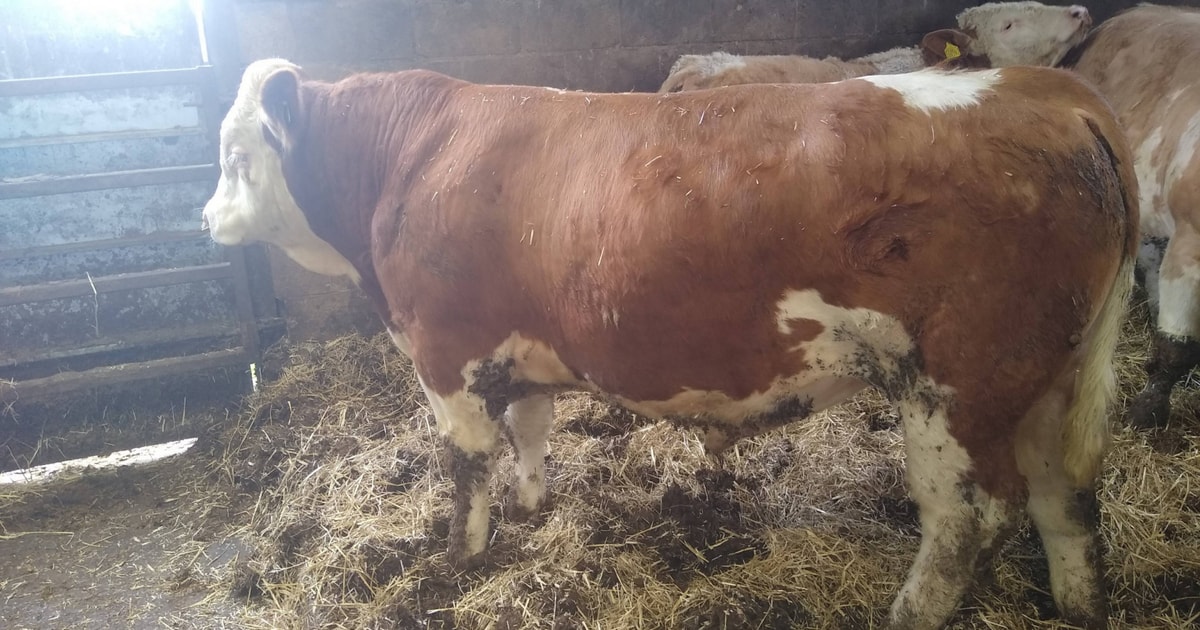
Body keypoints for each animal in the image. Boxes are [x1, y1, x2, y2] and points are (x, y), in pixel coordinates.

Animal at [202, 59, 1136, 629]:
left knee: (967, 517)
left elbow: (465, 465)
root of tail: (1054, 90)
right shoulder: (518, 351)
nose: (206, 220)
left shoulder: (444, 353)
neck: (414, 157)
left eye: (235, 154)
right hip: (1050, 381)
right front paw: (531, 510)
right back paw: (1078, 607)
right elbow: (530, 431)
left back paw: (907, 613)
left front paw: (457, 559)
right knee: (1065, 495)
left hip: (956, 386)